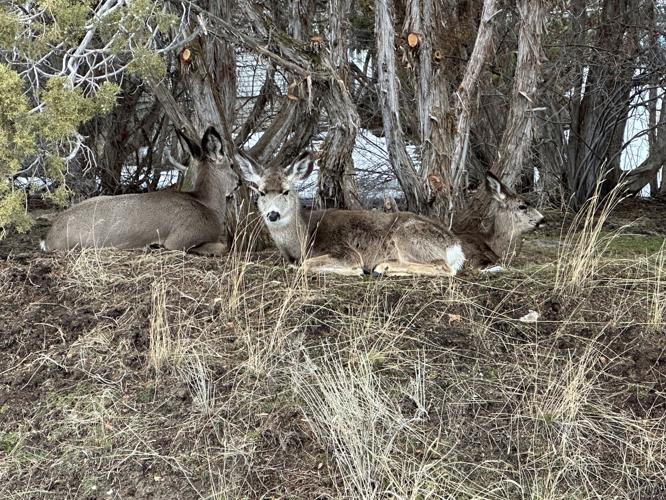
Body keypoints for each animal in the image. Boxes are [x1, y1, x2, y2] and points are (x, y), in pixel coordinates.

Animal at [40, 126, 240, 256]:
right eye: (231, 164)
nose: (239, 181)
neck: (208, 206)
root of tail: (49, 238)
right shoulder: (180, 238)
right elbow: (223, 246)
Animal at [238, 153, 466, 277]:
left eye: (286, 191)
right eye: (261, 192)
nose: (273, 215)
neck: (303, 240)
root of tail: (456, 246)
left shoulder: (345, 252)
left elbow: (305, 265)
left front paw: (356, 270)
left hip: (408, 237)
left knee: (444, 267)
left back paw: (382, 267)